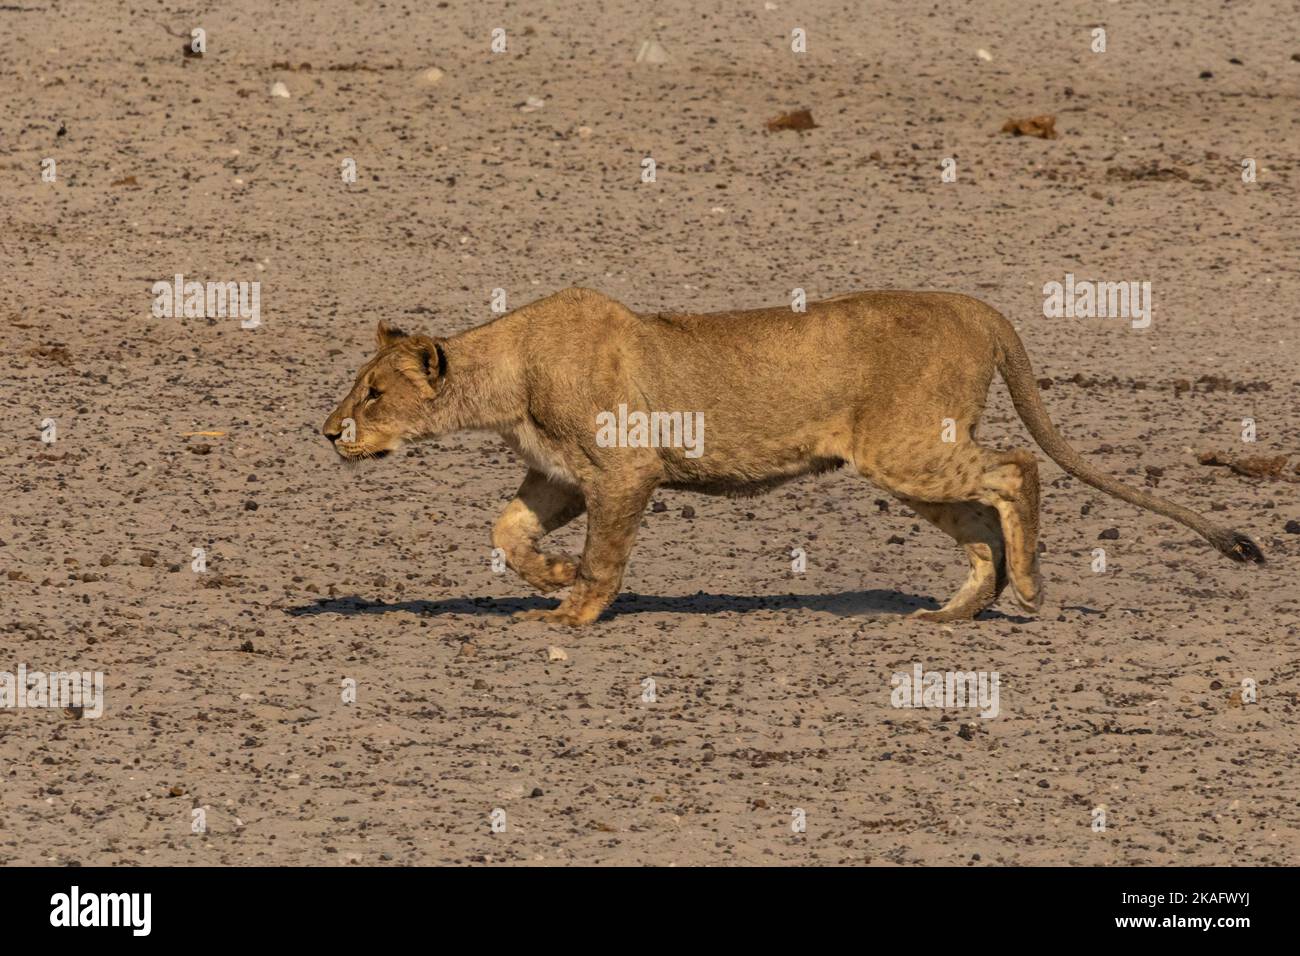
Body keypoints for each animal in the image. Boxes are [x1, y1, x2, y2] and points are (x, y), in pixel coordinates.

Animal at [322, 287, 1263, 626]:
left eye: (371, 393)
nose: (328, 431)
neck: (506, 374)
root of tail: (976, 306)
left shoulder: (626, 470)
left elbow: (606, 553)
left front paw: (574, 609)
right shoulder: (560, 477)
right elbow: (507, 528)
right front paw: (550, 577)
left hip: (907, 447)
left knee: (1015, 472)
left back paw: (1028, 588)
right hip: (910, 463)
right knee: (978, 525)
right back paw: (957, 612)